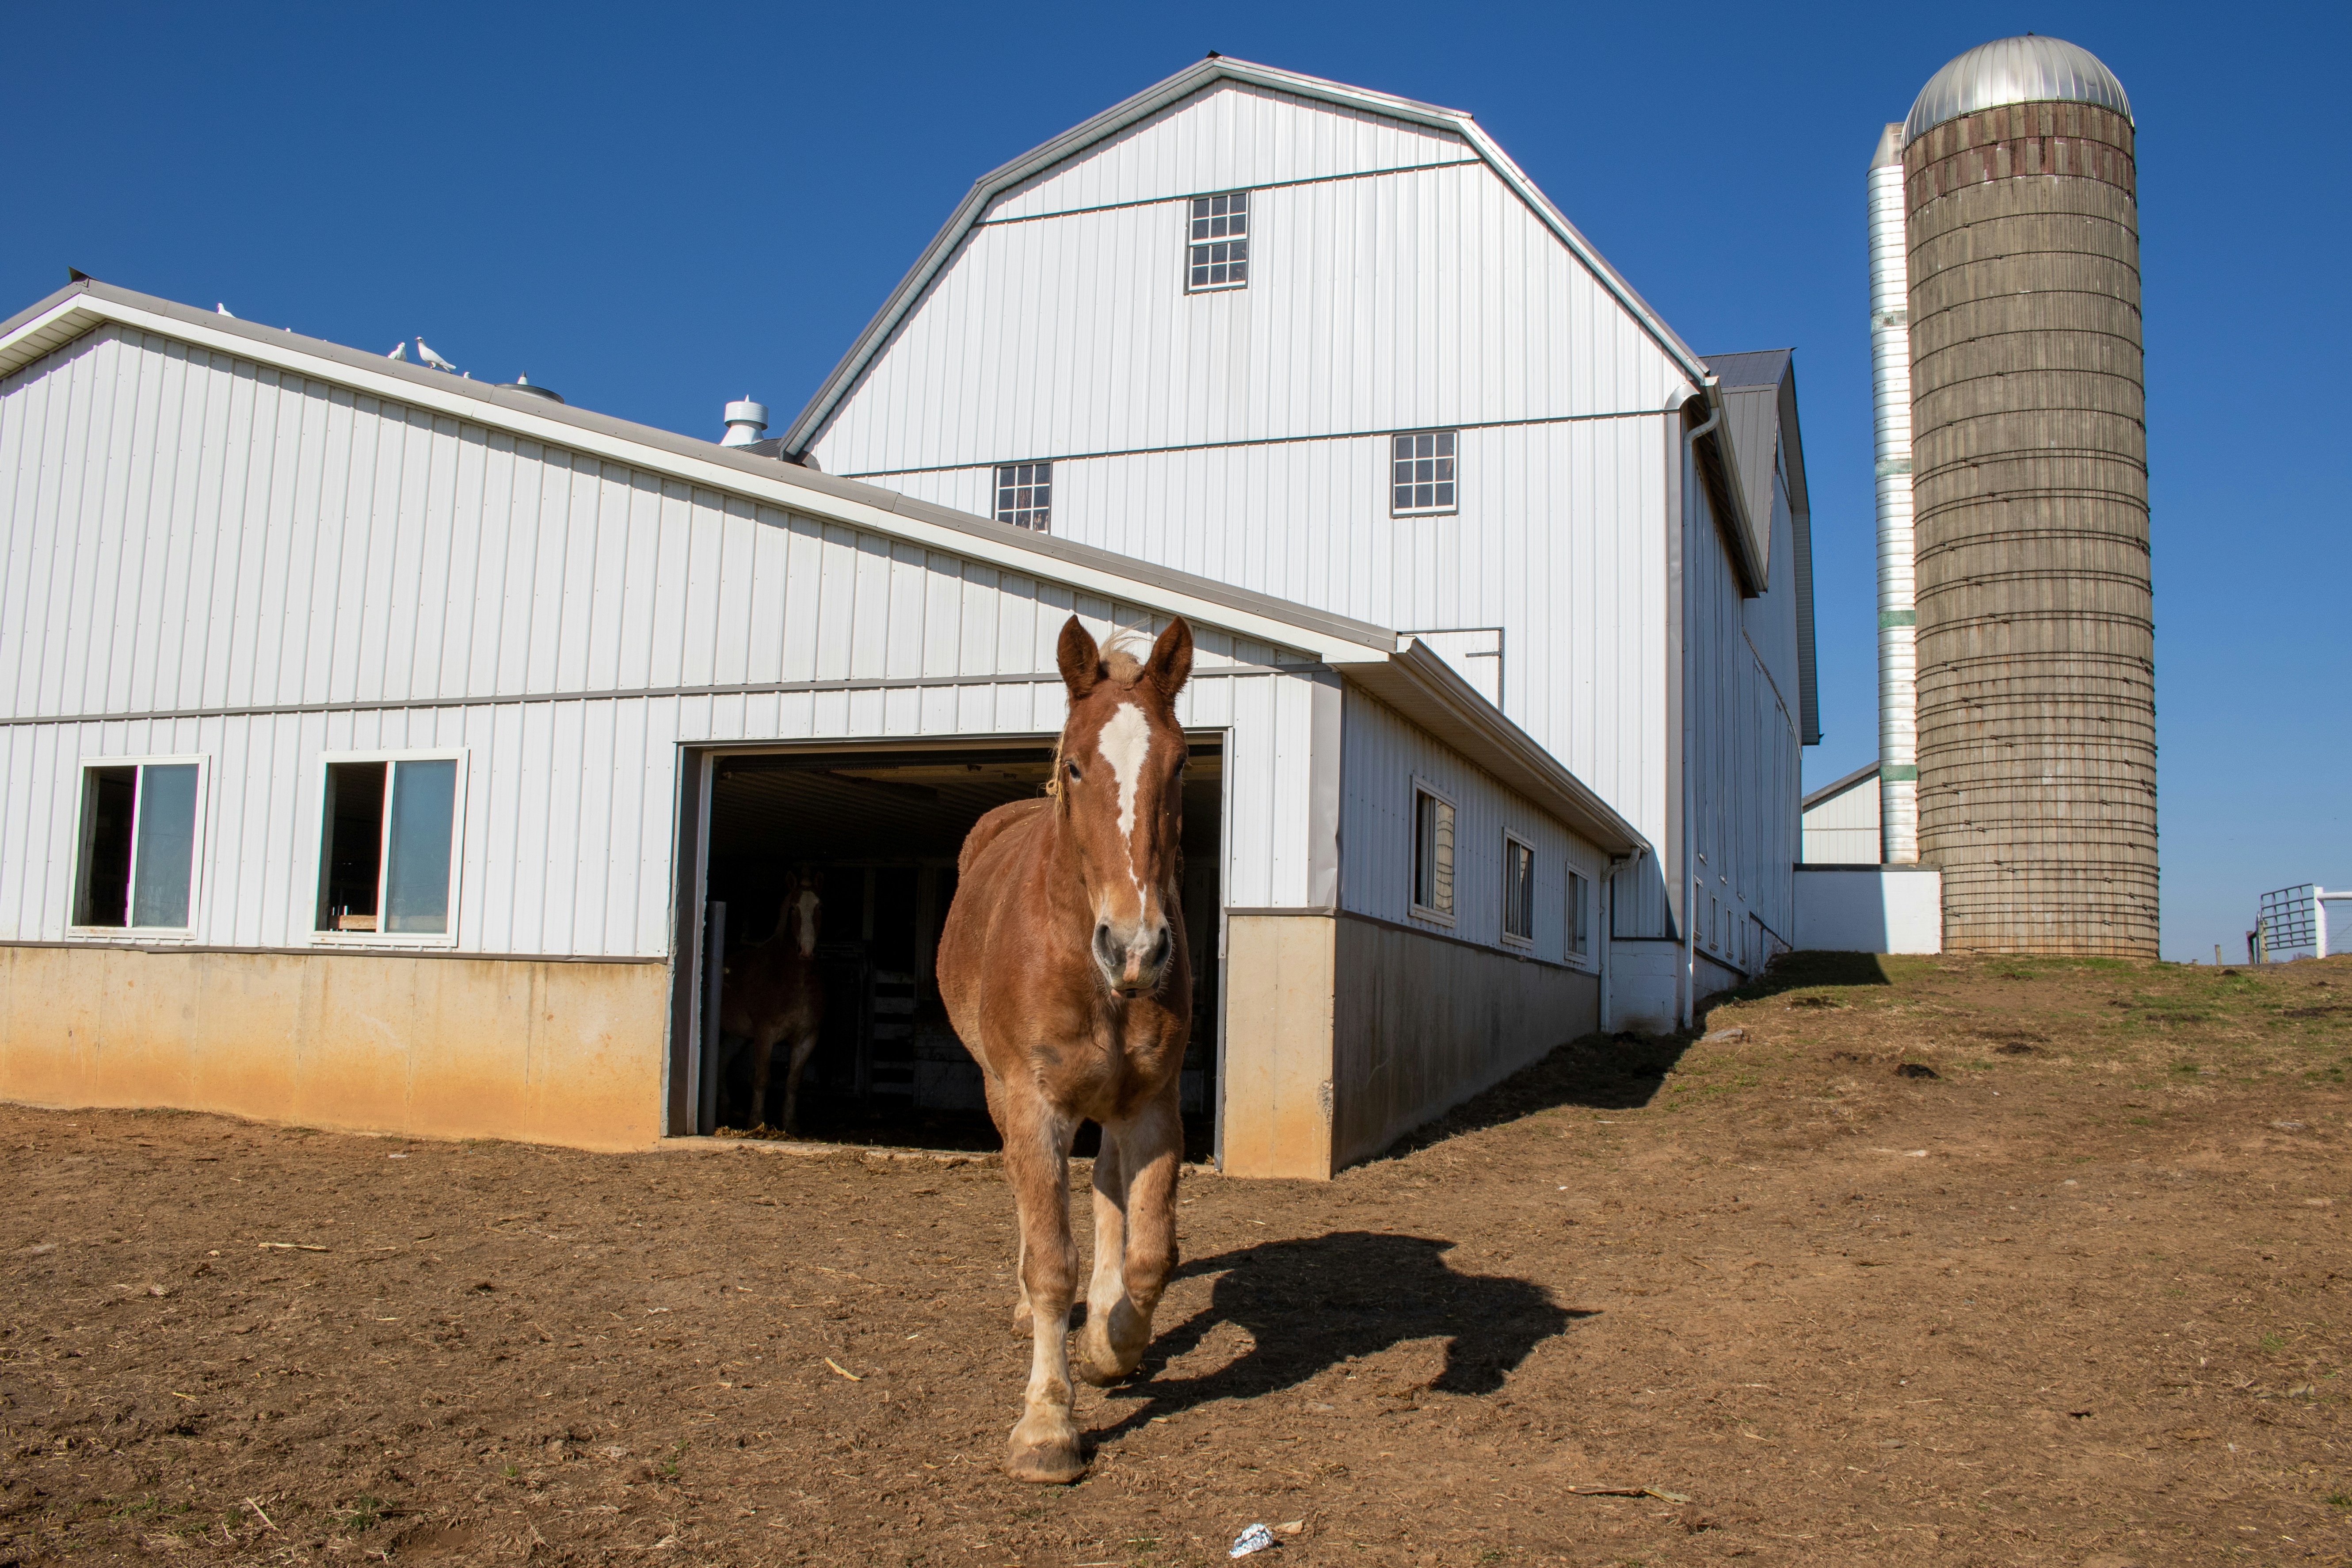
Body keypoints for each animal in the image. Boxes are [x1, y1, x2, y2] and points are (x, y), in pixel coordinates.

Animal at [719, 869, 827, 1135]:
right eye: (794, 909)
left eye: (820, 907)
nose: (806, 950)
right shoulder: (765, 1034)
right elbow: (762, 1078)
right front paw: (756, 1122)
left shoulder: (807, 1038)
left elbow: (793, 1082)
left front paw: (791, 1124)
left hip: (737, 1036)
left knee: (722, 1062)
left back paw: (726, 1108)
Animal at [936, 615, 1195, 1483]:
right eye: (1075, 765)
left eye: (1180, 762)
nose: (1138, 948)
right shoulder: (1033, 1103)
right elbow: (1051, 1260)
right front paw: (1047, 1426)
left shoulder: (1153, 1103)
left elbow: (1150, 1250)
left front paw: (1113, 1345)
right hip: (1001, 1093)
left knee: (1110, 1191)